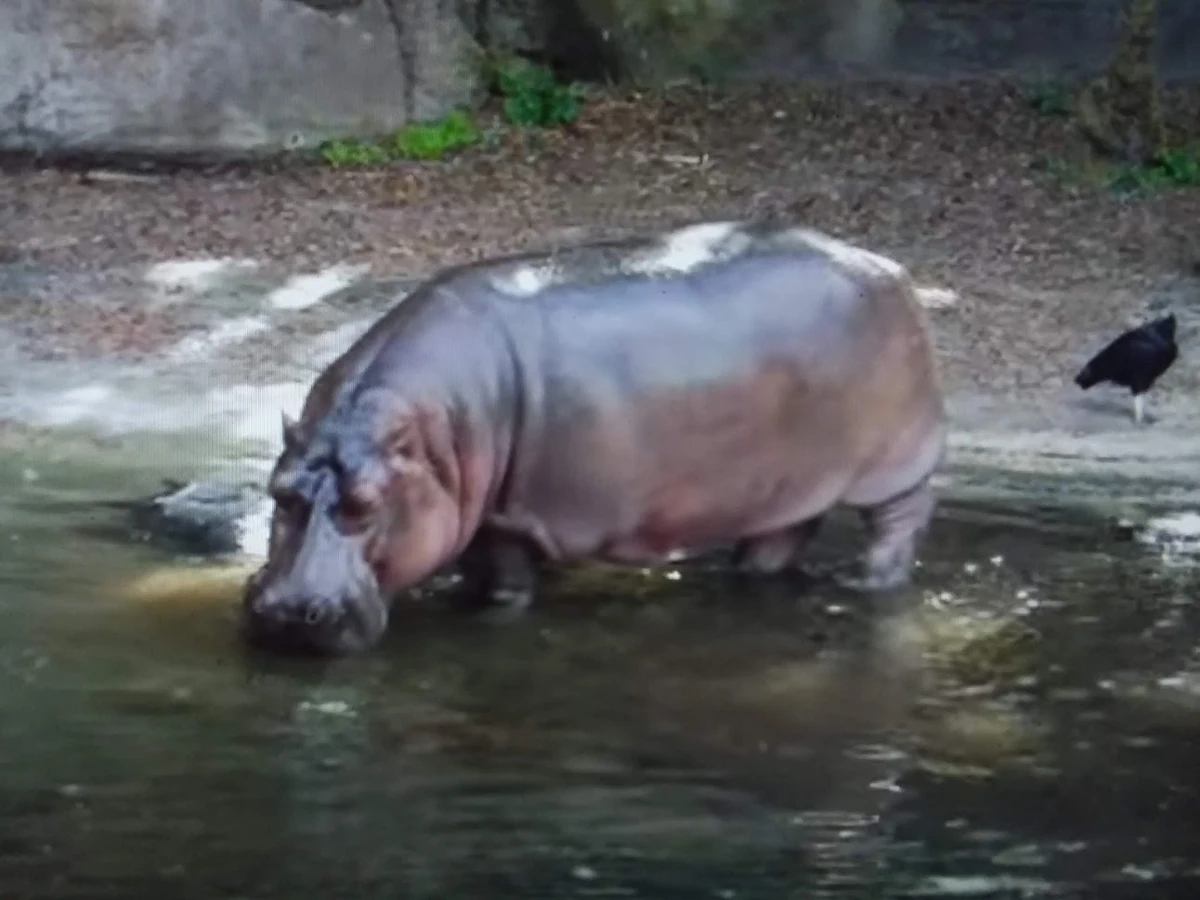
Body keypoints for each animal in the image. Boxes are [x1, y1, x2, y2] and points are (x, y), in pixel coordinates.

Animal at [242, 220, 948, 655]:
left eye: (365, 504)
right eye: (280, 492)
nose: (285, 610)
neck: (434, 432)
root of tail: (890, 269)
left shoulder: (516, 515)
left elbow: (508, 583)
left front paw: (492, 613)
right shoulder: (480, 510)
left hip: (896, 462)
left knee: (898, 525)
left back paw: (870, 585)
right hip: (788, 483)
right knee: (779, 538)